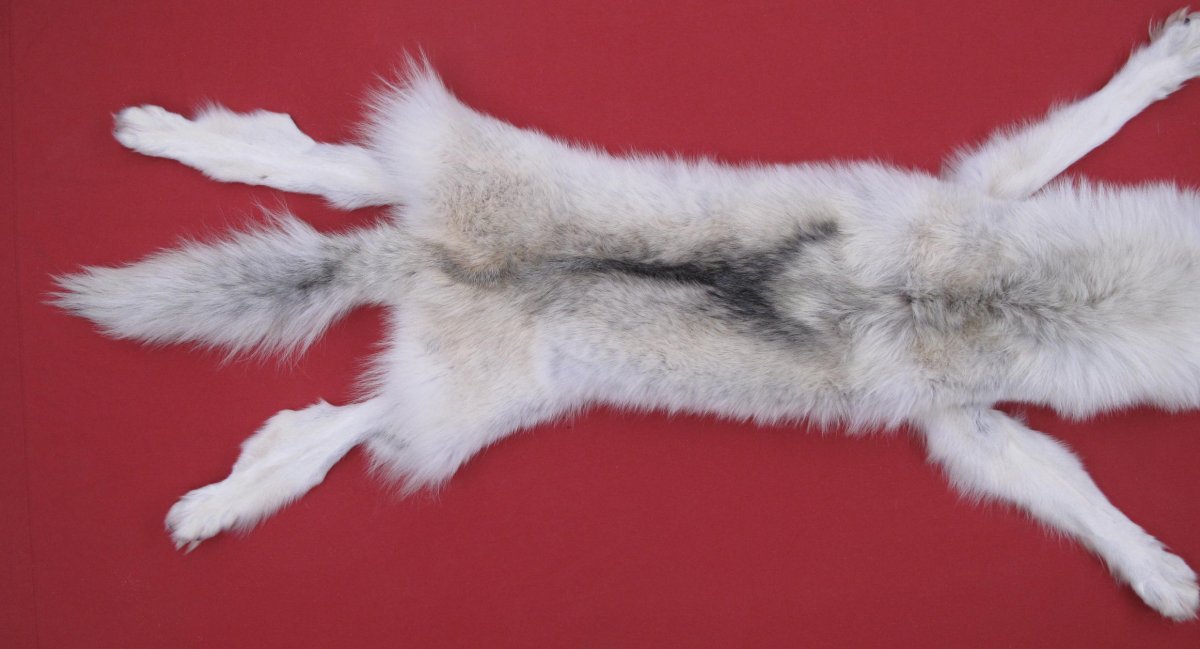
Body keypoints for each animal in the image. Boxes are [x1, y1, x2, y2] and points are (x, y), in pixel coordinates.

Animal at [54, 9, 1200, 620]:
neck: (1041, 293)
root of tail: (419, 264)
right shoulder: (968, 377)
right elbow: (1073, 489)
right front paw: (1164, 575)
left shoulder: (969, 371)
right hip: (467, 340)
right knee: (340, 394)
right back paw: (220, 500)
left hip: (450, 348)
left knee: (338, 239)